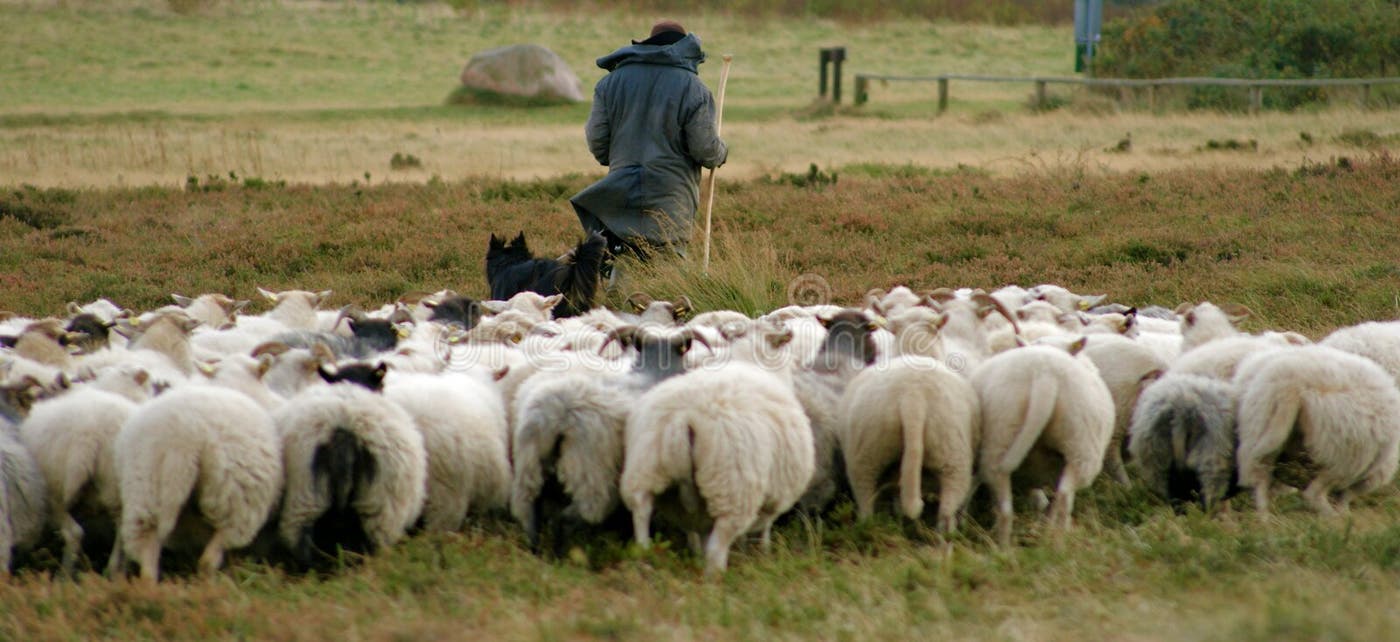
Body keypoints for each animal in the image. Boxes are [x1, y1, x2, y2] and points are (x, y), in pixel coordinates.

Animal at [114, 385, 282, 582]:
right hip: (237, 500)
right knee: (211, 555)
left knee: (147, 557)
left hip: (145, 488)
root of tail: (183, 440)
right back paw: (210, 583)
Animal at [621, 360, 815, 576]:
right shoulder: (774, 496)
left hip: (646, 464)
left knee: (641, 507)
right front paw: (763, 553)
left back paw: (644, 557)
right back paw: (717, 578)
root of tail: (687, 417)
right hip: (732, 484)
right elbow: (764, 529)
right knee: (717, 547)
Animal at [971, 339, 1115, 546]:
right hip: (1082, 447)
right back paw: (1058, 541)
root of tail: (1045, 372)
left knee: (1005, 506)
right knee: (1064, 496)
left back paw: (1004, 547)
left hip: (1001, 432)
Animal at [1233, 345, 1400, 515]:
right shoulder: (1376, 467)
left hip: (1261, 426)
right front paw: (1344, 512)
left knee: (1260, 477)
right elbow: (1348, 494)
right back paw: (1333, 516)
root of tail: (1293, 380)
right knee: (1314, 493)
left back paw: (1264, 516)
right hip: (1345, 453)